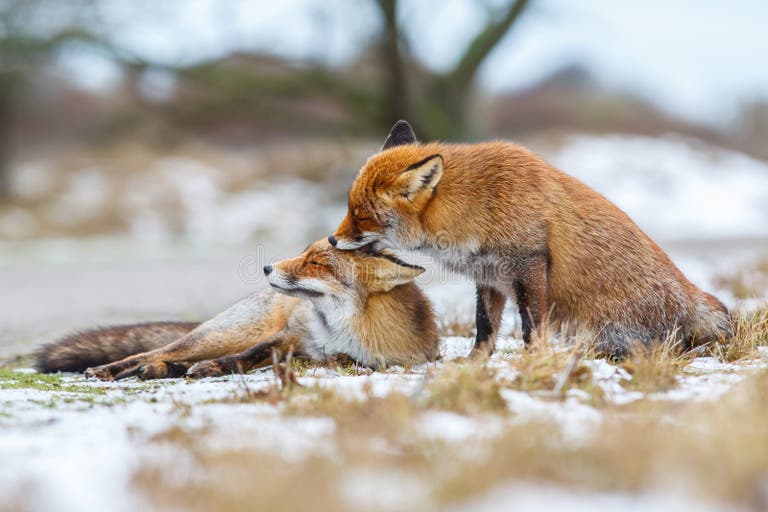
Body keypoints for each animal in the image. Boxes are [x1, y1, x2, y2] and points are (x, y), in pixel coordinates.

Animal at [36, 239, 439, 380]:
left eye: (315, 263)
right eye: (305, 252)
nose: (267, 268)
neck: (338, 329)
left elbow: (337, 360)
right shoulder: (287, 338)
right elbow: (244, 358)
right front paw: (213, 369)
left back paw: (159, 371)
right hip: (219, 336)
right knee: (154, 351)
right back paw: (118, 369)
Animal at [329, 120, 731, 358]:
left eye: (361, 215)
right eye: (348, 207)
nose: (332, 240)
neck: (480, 207)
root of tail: (692, 296)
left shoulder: (531, 265)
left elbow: (531, 328)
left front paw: (531, 364)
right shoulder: (489, 278)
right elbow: (485, 329)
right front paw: (473, 366)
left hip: (600, 329)